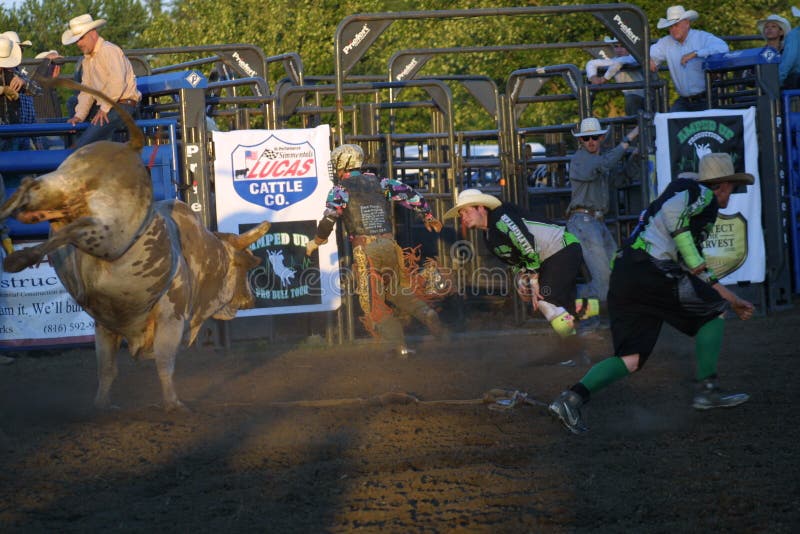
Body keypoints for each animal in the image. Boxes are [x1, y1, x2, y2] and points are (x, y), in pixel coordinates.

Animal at [0, 78, 271, 411]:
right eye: (245, 267)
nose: (250, 300)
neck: (199, 254)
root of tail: (130, 148)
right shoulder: (172, 318)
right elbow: (165, 363)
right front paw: (174, 404)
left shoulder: (104, 326)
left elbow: (106, 367)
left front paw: (102, 405)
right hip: (108, 234)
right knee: (76, 228)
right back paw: (19, 259)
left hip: (57, 187)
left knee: (31, 191)